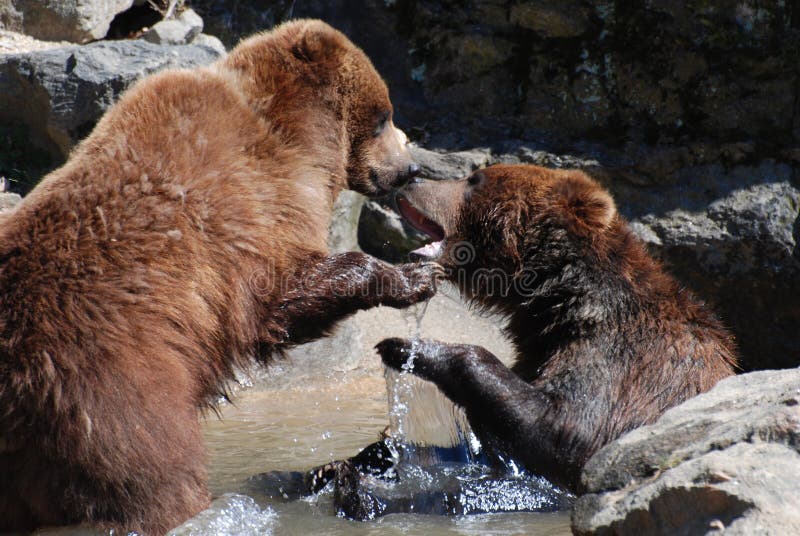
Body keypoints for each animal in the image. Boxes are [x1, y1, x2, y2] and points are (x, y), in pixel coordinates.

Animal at [0, 19, 439, 535]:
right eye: (383, 118)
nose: (410, 169)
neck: (300, 137)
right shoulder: (251, 205)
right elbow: (278, 299)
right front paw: (413, 274)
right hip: (107, 389)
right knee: (153, 473)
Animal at [377, 164, 739, 493]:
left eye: (474, 180)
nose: (413, 180)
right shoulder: (542, 346)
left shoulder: (624, 357)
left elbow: (568, 429)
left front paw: (407, 348)